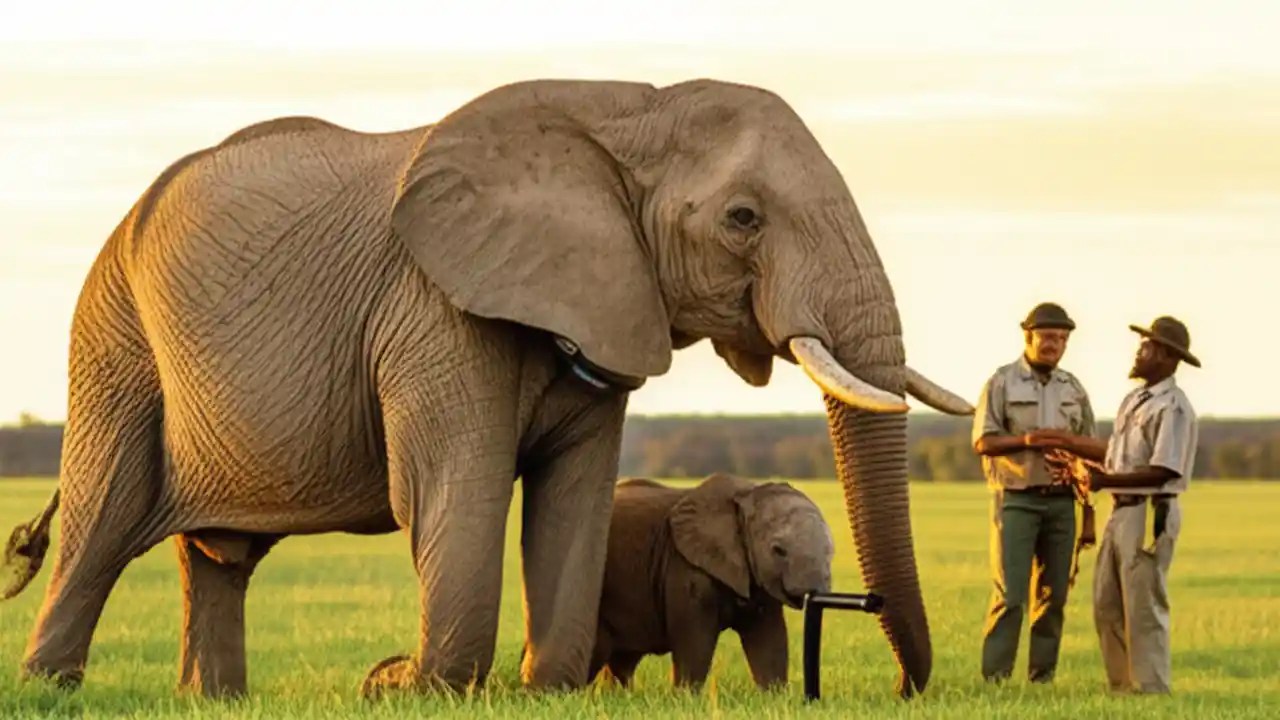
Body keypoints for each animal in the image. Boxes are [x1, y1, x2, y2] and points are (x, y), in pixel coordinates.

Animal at [588, 474, 834, 690]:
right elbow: (695, 640)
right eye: (778, 550)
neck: (747, 492)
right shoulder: (684, 566)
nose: (812, 593)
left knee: (621, 662)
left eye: (831, 552)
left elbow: (770, 639)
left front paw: (775, 696)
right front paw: (686, 698)